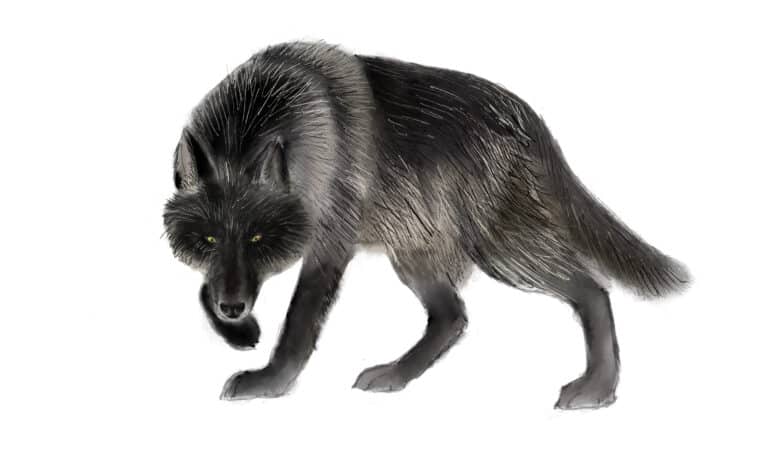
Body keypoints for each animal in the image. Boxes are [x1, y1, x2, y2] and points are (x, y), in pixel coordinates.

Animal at [163, 41, 689, 409]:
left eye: (257, 238)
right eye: (208, 239)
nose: (234, 308)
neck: (258, 117)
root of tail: (524, 113)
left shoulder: (329, 247)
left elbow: (298, 323)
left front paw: (270, 382)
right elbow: (205, 289)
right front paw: (241, 331)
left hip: (502, 250)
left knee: (593, 289)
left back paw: (597, 388)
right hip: (415, 254)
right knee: (453, 316)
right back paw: (395, 376)